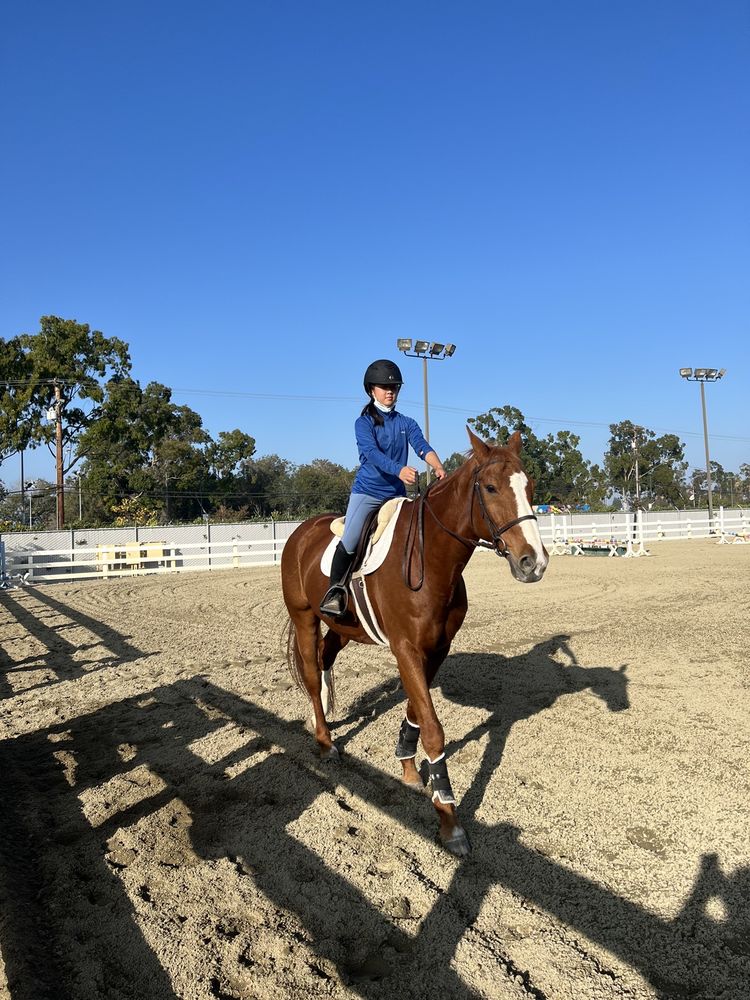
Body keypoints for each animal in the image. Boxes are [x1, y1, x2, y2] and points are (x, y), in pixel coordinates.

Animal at [280, 428, 549, 855]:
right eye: (490, 487)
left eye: (530, 487)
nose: (533, 562)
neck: (432, 558)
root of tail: (301, 531)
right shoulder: (405, 648)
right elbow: (434, 728)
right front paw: (449, 819)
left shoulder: (435, 648)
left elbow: (416, 712)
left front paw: (407, 766)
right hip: (304, 618)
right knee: (309, 670)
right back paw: (324, 742)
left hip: (341, 627)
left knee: (323, 661)